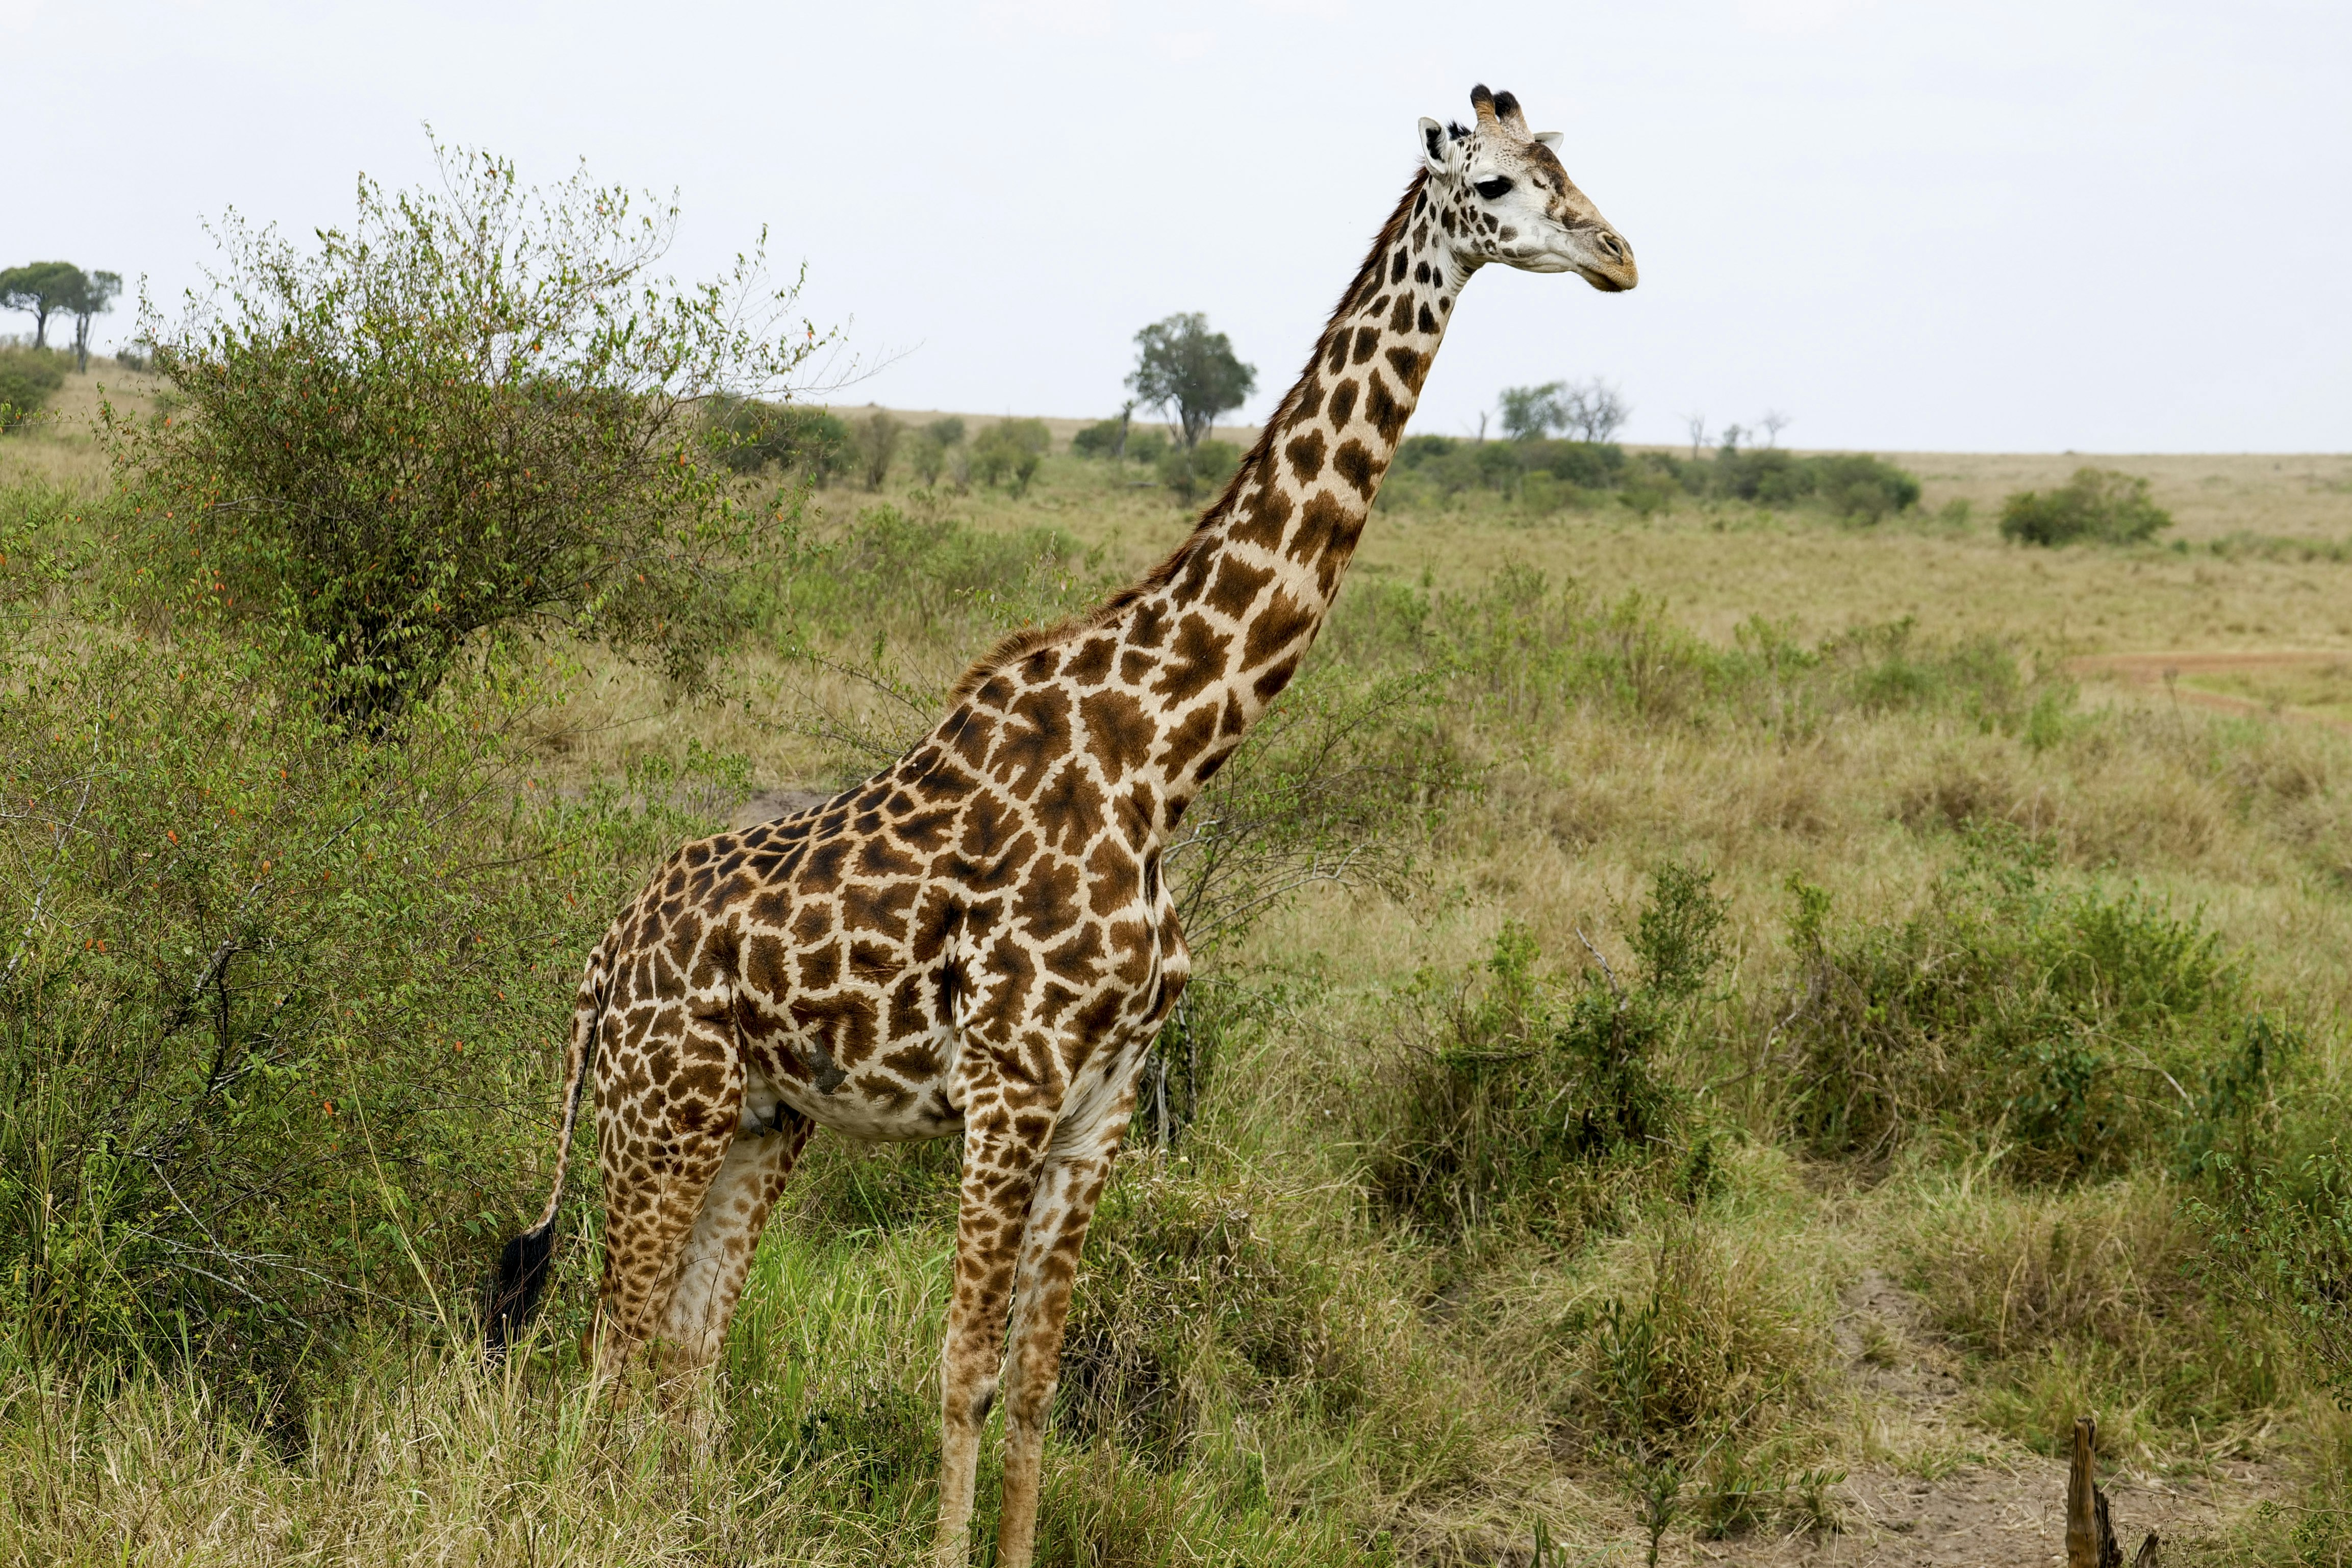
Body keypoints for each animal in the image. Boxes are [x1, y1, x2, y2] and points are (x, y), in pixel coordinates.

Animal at [486, 83, 1636, 1566]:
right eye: (1496, 185)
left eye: (1570, 170)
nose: (1617, 255)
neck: (1161, 757)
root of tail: (600, 958)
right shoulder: (1010, 1086)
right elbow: (961, 1370)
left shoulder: (1101, 1105)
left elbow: (1036, 1381)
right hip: (658, 1106)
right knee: (610, 1332)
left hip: (761, 1115)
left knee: (686, 1333)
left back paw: (684, 1521)